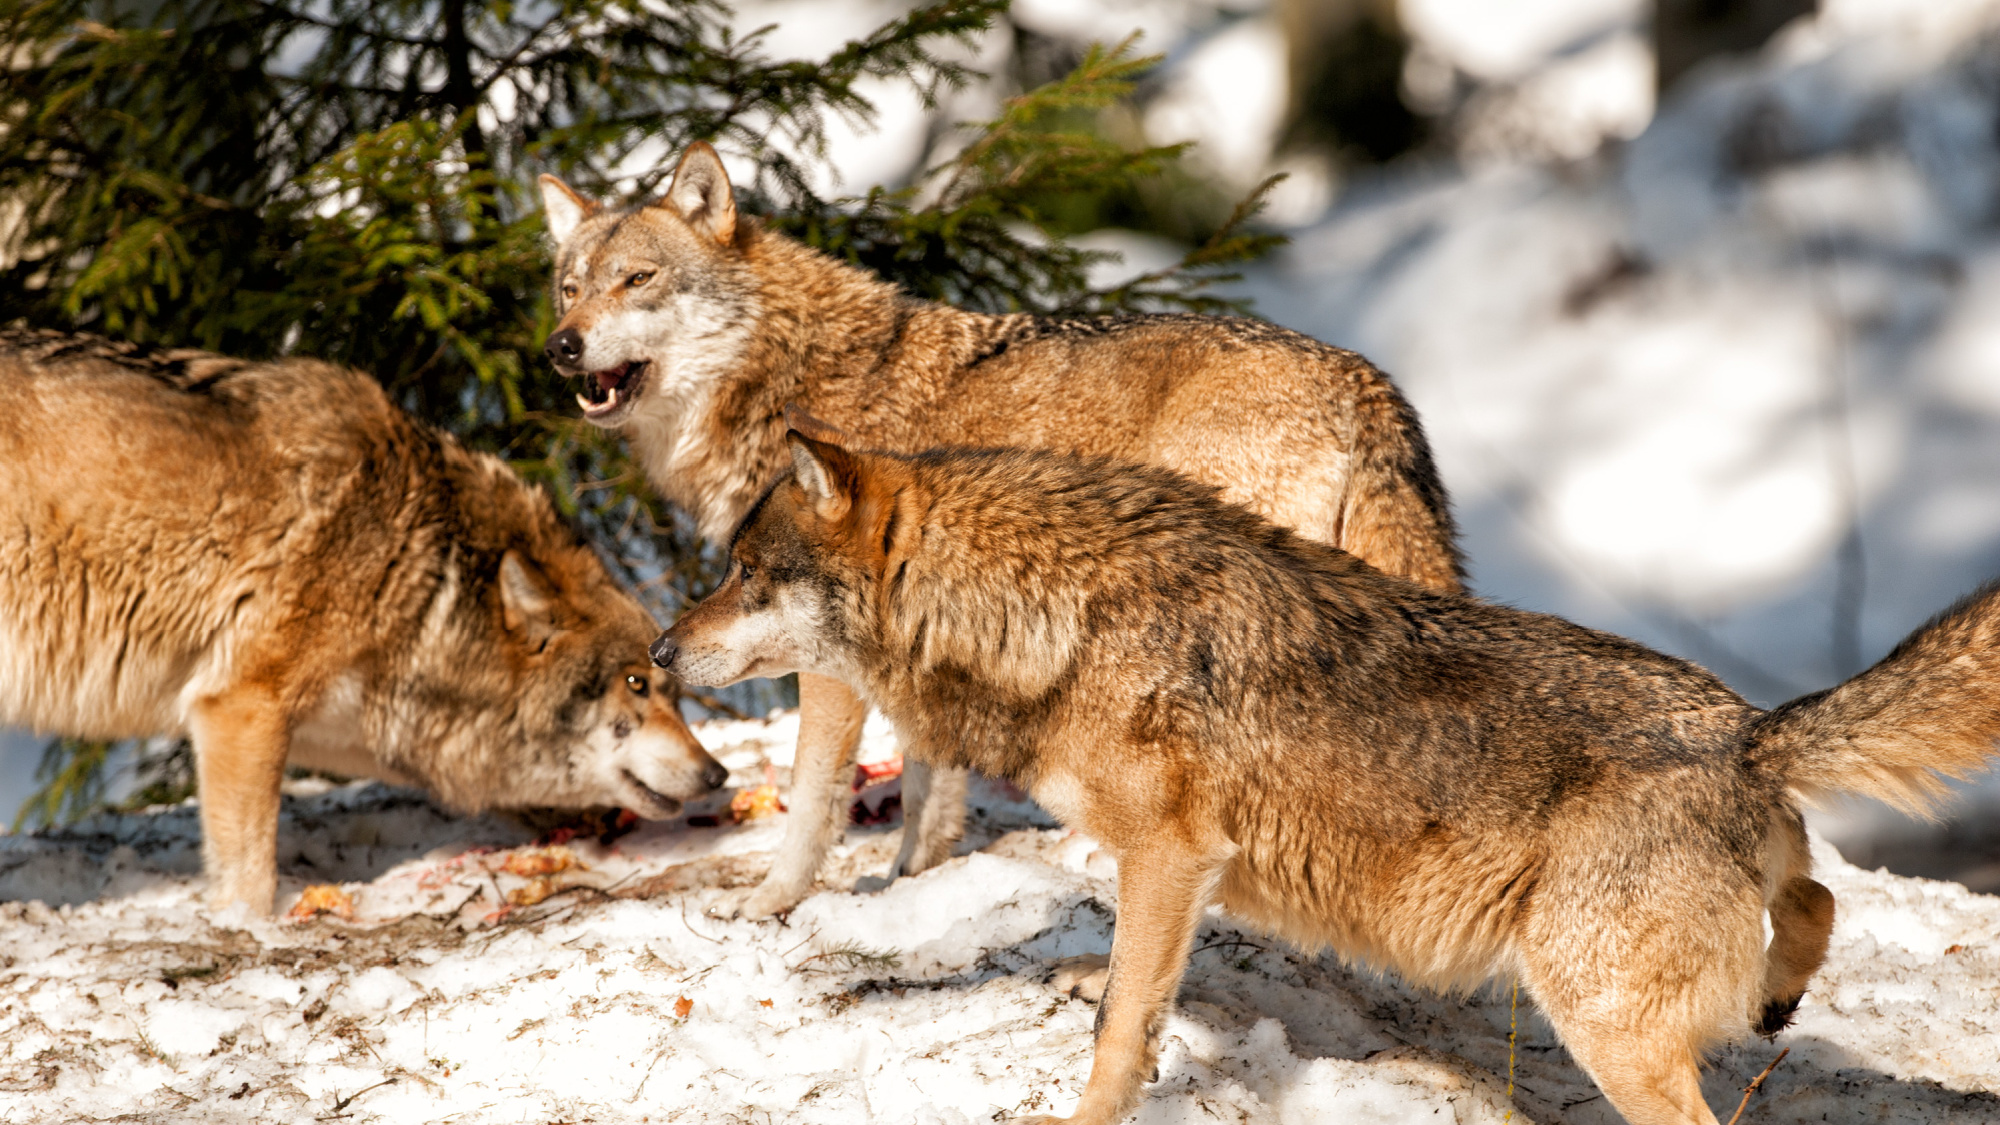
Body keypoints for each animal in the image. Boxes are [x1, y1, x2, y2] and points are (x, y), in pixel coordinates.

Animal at [0, 330, 729, 915]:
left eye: (674, 694)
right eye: (636, 684)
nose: (717, 774)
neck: (425, 573)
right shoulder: (241, 707)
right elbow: (248, 879)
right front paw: (252, 935)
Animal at [537, 142, 1463, 917]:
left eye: (639, 279)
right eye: (571, 286)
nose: (560, 347)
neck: (779, 378)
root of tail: (1365, 381)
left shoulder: (831, 659)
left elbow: (811, 800)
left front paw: (770, 901)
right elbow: (927, 785)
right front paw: (913, 879)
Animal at [655, 422, 2000, 1125]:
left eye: (742, 574)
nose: (660, 653)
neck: (1055, 618)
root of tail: (1741, 730)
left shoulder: (1168, 856)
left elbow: (1116, 1030)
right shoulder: (1172, 873)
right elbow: (1126, 993)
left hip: (1600, 1022)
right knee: (1814, 898)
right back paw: (1774, 1002)